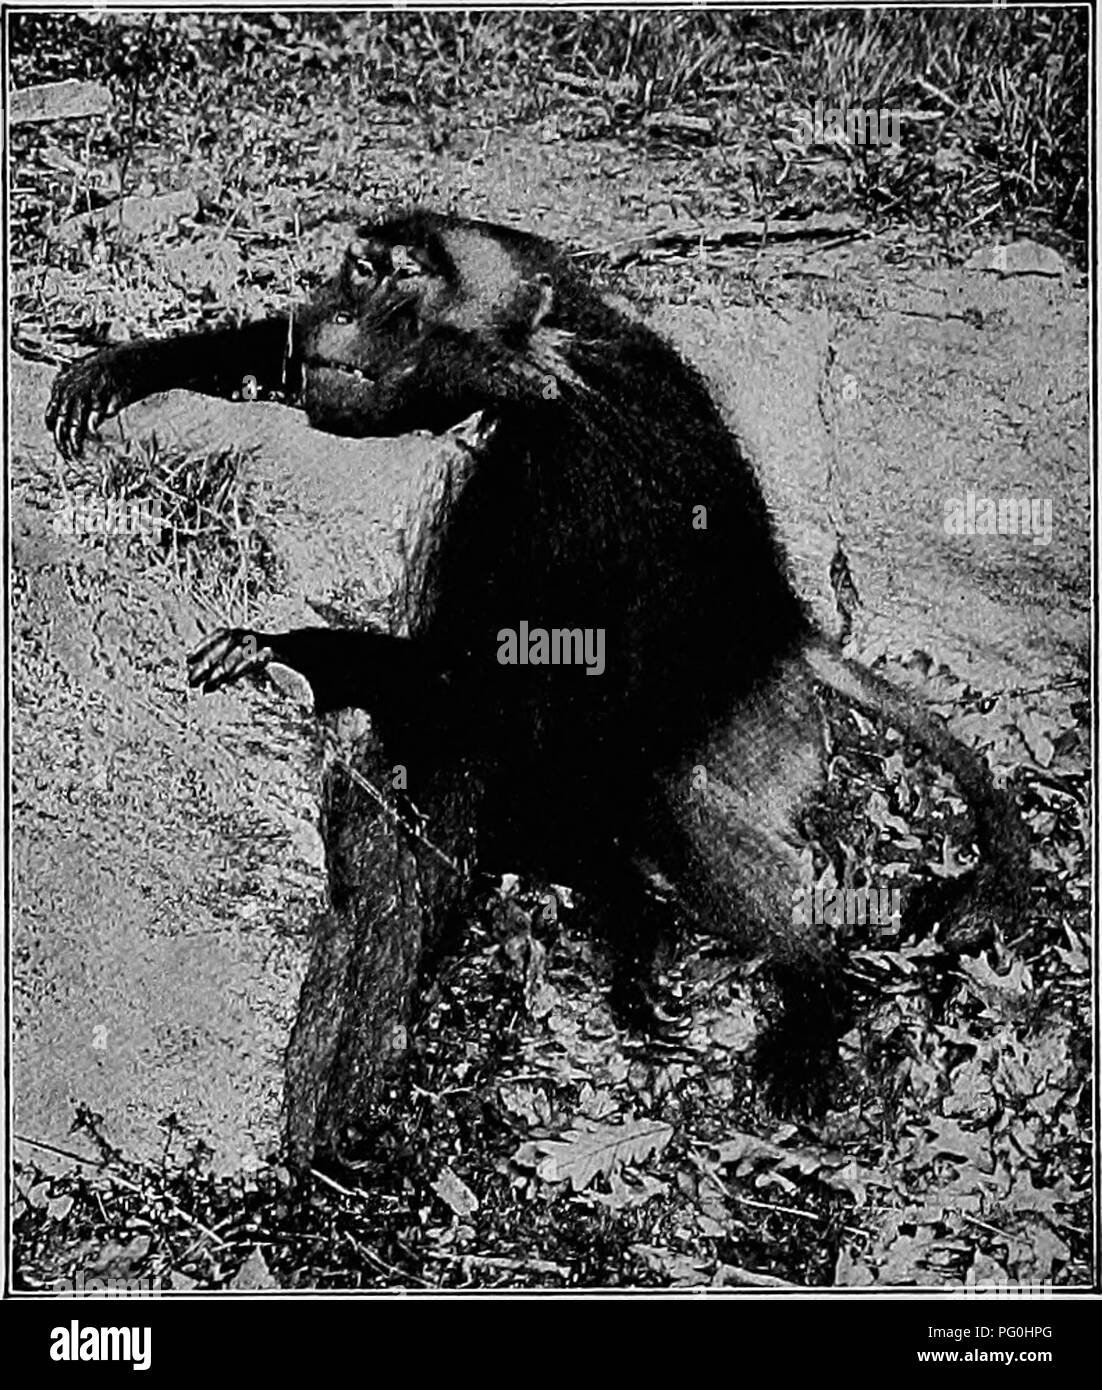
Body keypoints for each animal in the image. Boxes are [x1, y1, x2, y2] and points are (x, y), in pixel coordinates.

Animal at [46, 210, 1027, 1114]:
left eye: (401, 279)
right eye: (359, 266)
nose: (335, 308)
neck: (546, 366)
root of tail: (783, 626)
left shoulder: (541, 471)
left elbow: (485, 683)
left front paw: (281, 648)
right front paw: (136, 364)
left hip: (753, 720)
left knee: (655, 787)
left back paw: (812, 982)